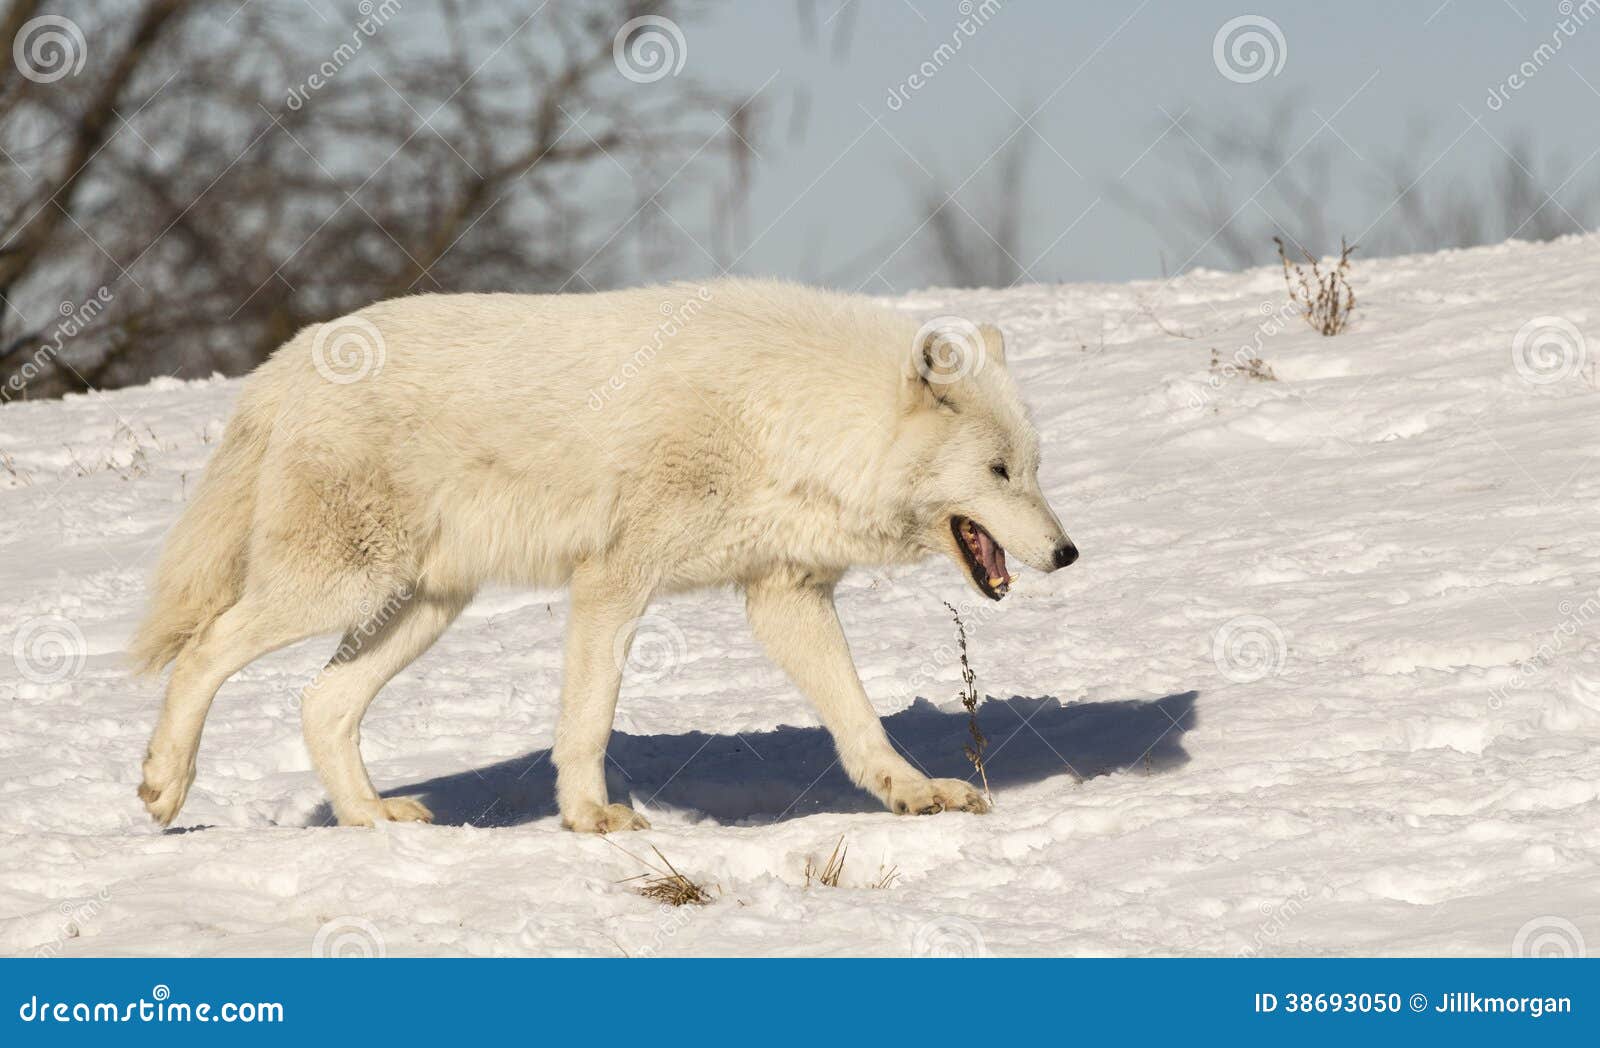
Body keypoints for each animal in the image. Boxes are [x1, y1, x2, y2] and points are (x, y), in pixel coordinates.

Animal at [131, 279, 1076, 832]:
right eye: (998, 471)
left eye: (1032, 467)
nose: (1067, 553)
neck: (789, 417)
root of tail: (286, 360)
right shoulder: (614, 581)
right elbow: (586, 722)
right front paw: (589, 819)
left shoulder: (785, 597)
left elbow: (860, 721)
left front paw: (914, 794)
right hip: (339, 587)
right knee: (203, 652)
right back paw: (163, 785)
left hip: (423, 607)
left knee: (321, 704)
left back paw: (371, 817)